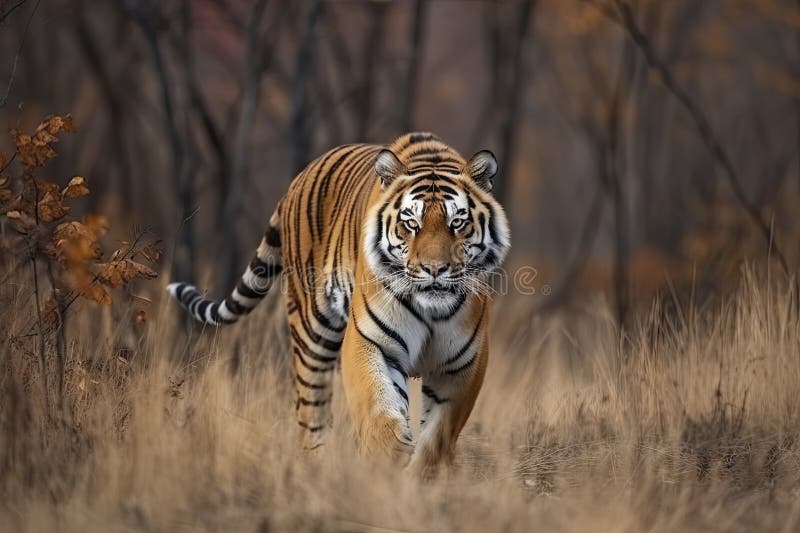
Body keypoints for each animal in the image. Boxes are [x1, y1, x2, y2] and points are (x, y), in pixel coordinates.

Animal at [167, 132, 510, 473]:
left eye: (457, 223)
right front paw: (387, 455)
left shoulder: (463, 364)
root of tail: (300, 176)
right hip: (311, 335)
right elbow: (375, 401)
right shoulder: (369, 341)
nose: (434, 269)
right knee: (311, 412)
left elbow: (439, 434)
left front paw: (420, 472)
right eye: (411, 224)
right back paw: (316, 469)